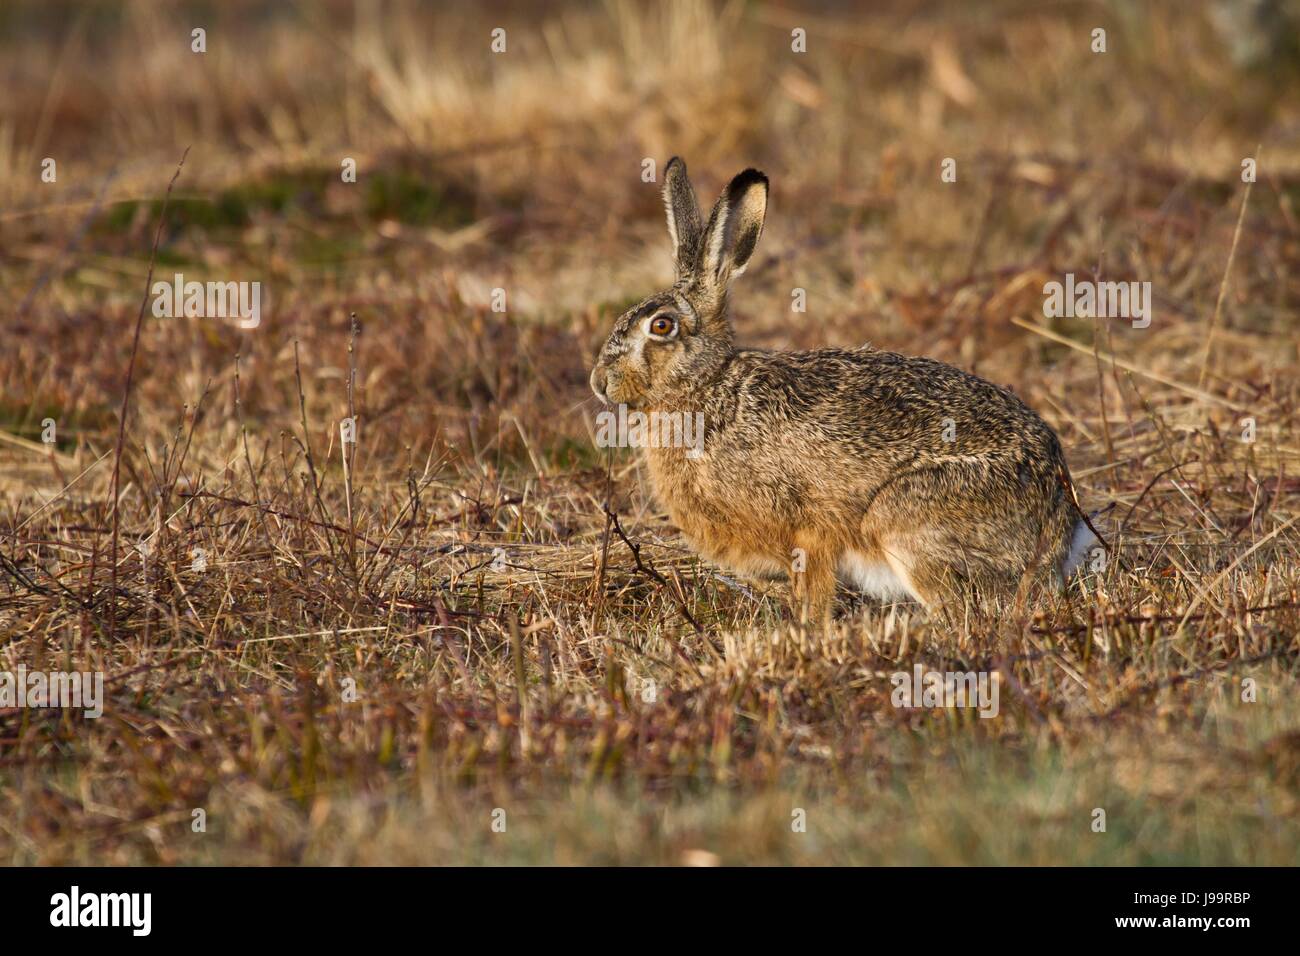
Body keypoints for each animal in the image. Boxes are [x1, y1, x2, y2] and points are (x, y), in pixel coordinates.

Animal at [590, 157, 1098, 619]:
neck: (706, 388)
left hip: (905, 518)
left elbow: (813, 595)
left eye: (661, 326)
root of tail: (1060, 519)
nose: (600, 382)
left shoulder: (808, 532)